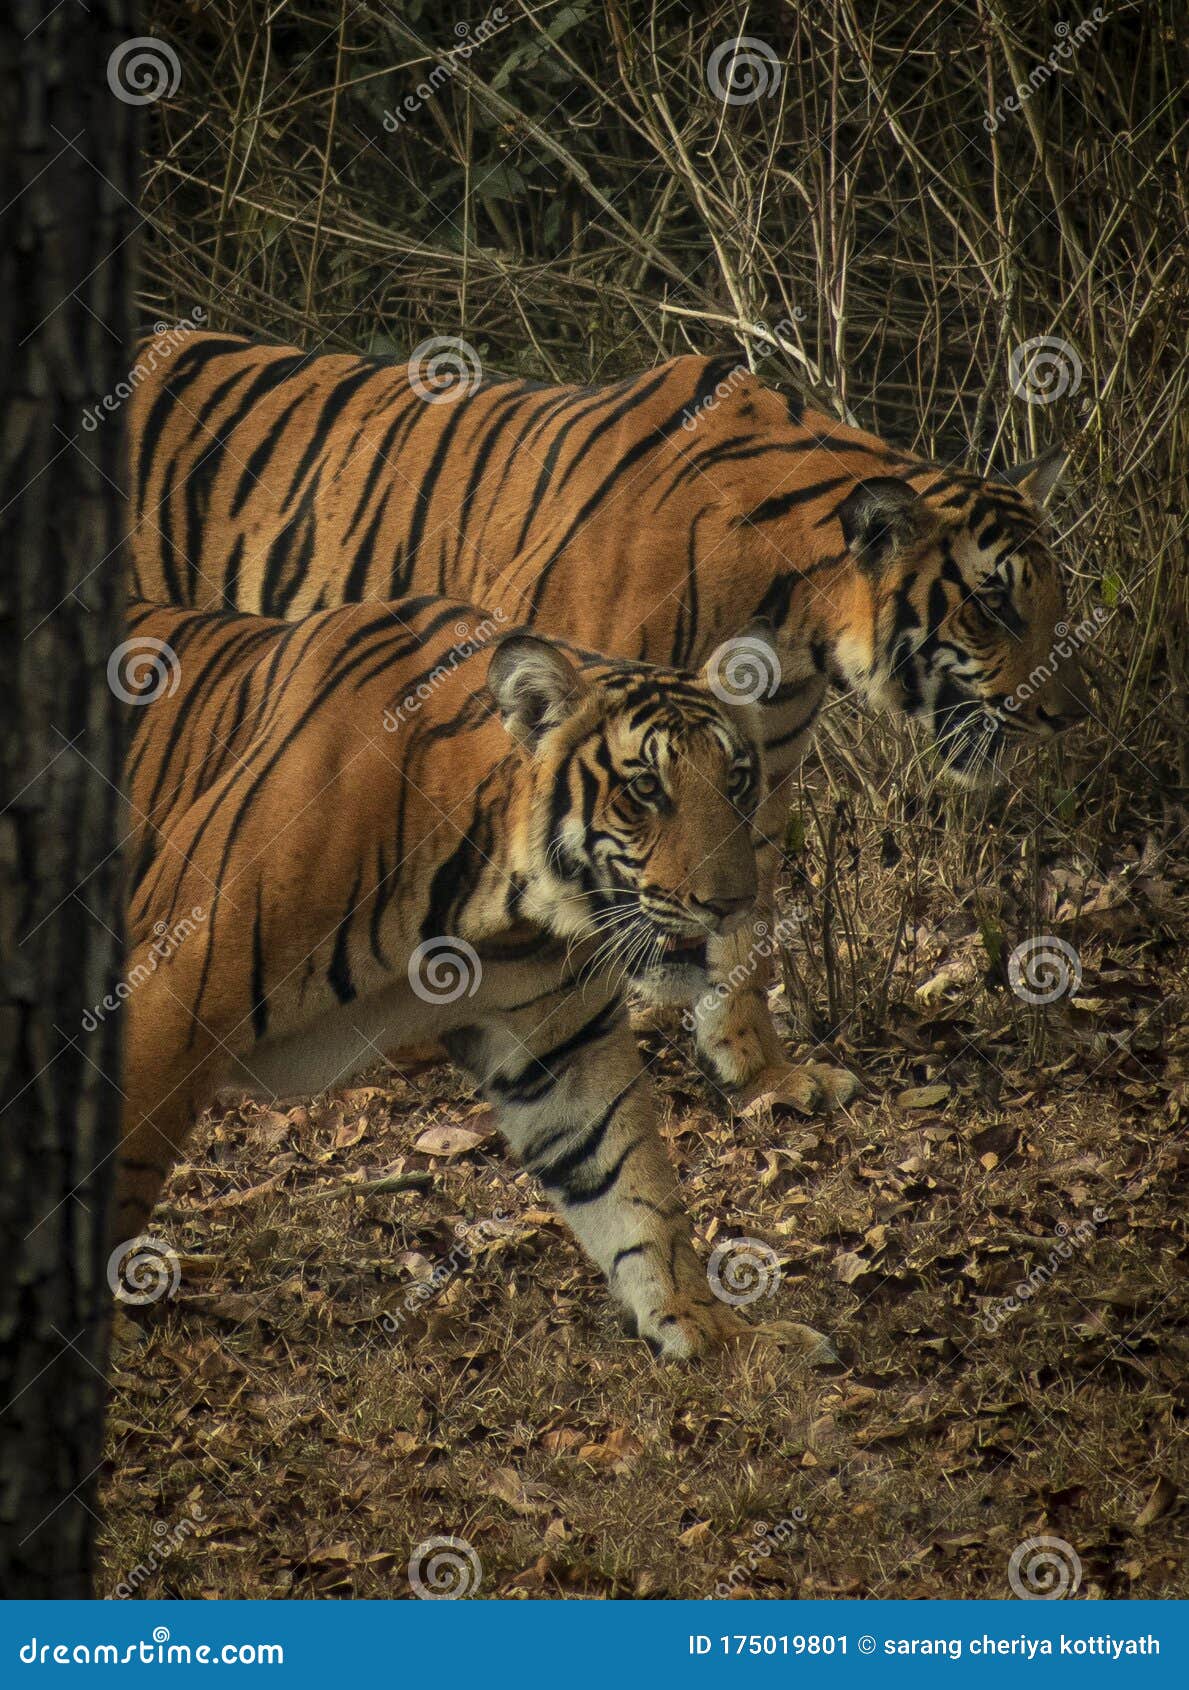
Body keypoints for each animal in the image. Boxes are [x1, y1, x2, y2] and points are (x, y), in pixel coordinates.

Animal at [114, 592, 774, 1359]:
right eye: (645, 789)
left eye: (737, 783)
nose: (732, 904)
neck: (499, 902)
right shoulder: (166, 1000)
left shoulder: (561, 1048)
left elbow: (630, 1183)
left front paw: (709, 1329)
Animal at [125, 333, 1092, 1101]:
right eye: (994, 605)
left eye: (1056, 597)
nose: (1070, 714)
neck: (792, 619)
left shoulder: (752, 778)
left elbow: (742, 932)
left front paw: (761, 1073)